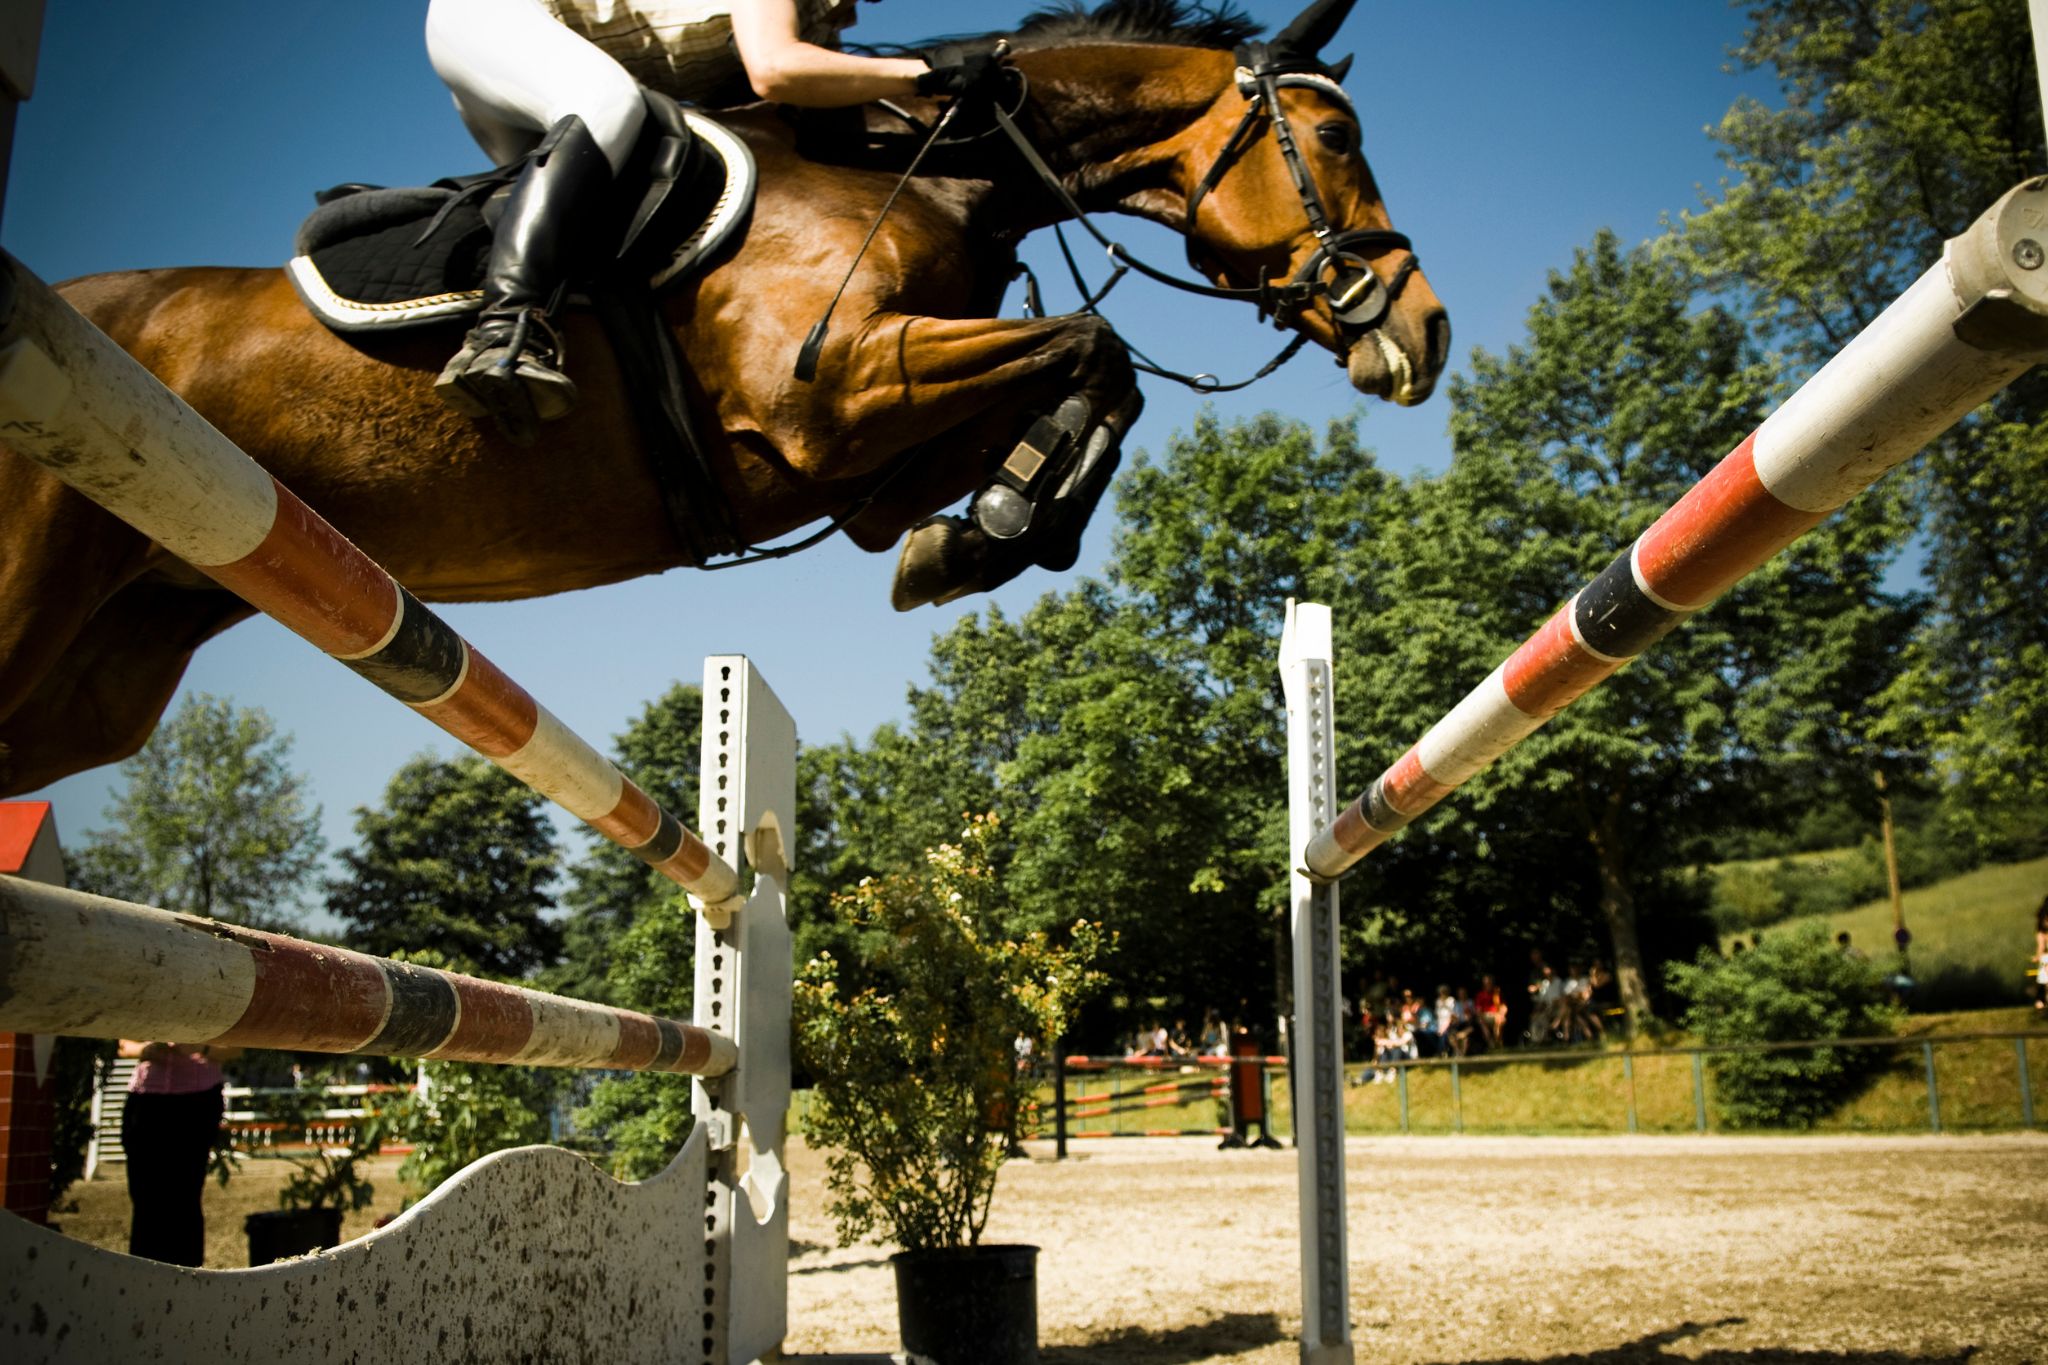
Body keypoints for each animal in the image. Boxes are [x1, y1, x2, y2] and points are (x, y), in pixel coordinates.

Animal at [0, 0, 1447, 799]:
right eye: (1332, 140)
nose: (1422, 334)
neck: (937, 168)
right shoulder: (833, 391)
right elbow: (1099, 349)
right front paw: (990, 535)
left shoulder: (864, 458)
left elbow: (1089, 386)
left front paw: (982, 536)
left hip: (113, 665)